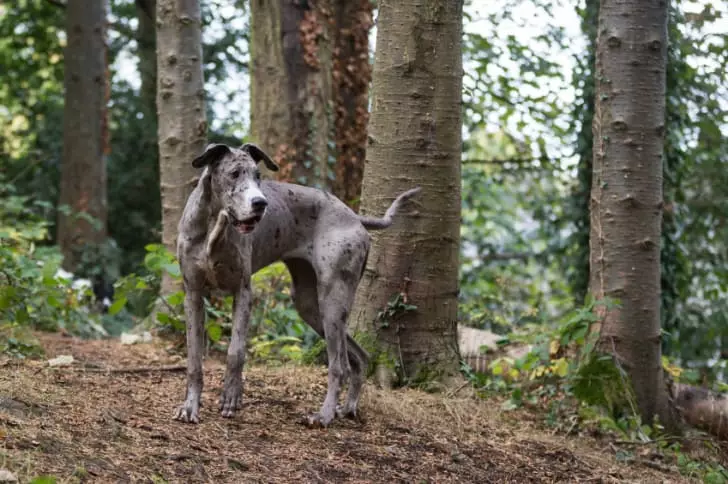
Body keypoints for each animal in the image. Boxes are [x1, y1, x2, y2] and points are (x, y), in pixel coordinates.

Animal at [175, 142, 420, 426]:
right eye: (234, 174)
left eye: (258, 176)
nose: (260, 203)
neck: (215, 223)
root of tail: (354, 216)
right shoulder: (192, 294)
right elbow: (194, 359)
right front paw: (190, 407)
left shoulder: (243, 292)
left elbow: (235, 352)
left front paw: (231, 397)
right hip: (309, 305)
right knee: (360, 357)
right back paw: (347, 408)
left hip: (332, 299)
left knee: (339, 365)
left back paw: (324, 415)